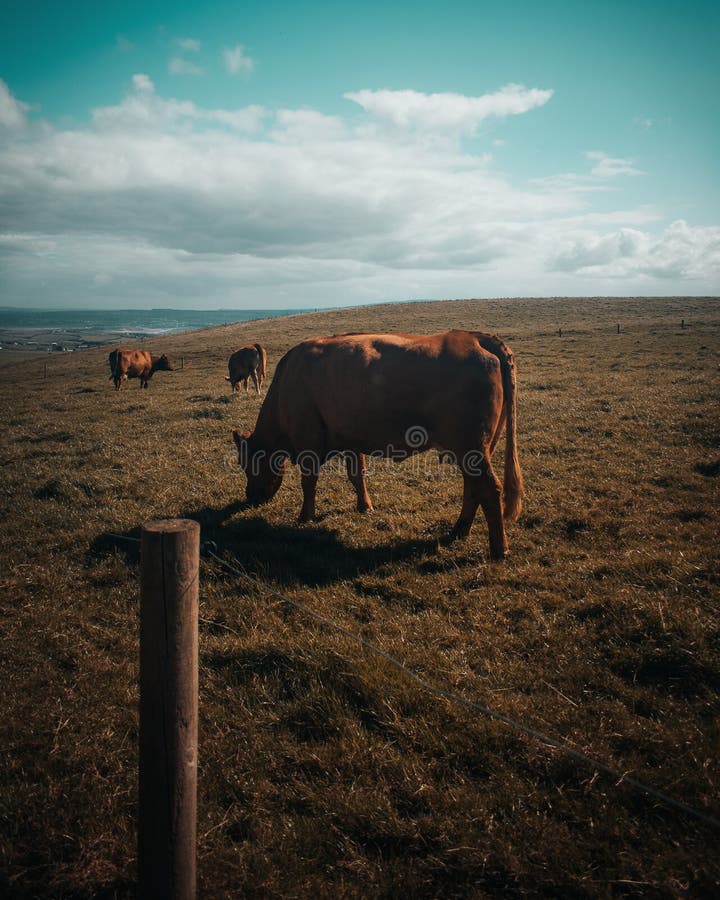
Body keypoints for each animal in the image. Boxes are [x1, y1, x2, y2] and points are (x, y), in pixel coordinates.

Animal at [231, 330, 523, 560]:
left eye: (247, 463)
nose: (250, 496)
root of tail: (473, 337)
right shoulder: (350, 439)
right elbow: (357, 475)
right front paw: (365, 506)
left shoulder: (308, 440)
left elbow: (309, 482)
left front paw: (305, 517)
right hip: (475, 450)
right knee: (473, 489)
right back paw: (459, 530)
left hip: (471, 447)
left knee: (489, 489)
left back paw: (499, 550)